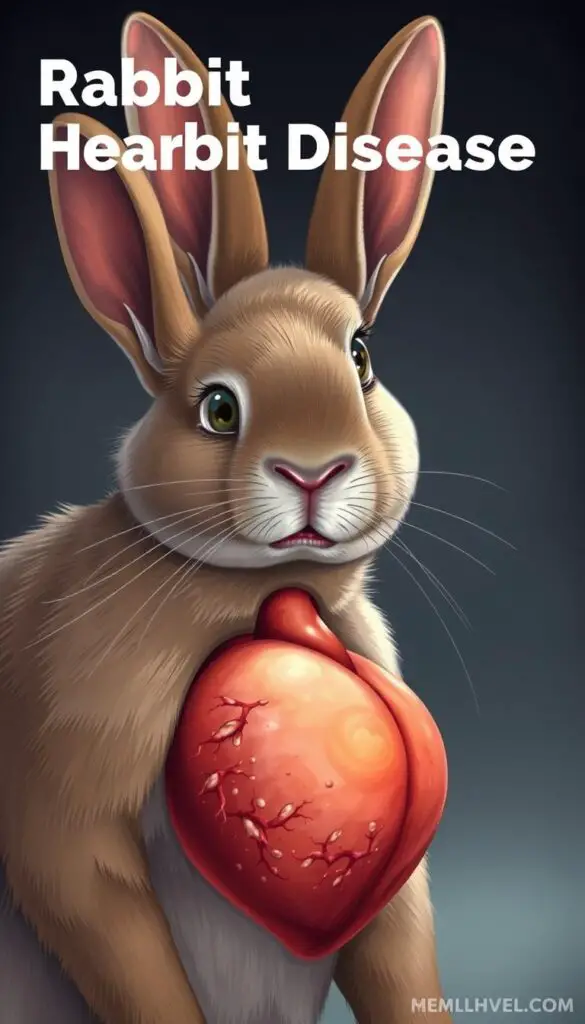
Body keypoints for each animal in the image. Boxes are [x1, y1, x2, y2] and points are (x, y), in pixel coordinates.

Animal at [0, 11, 453, 1024]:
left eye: (362, 358)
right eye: (216, 408)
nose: (315, 468)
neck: (261, 596)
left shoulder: (395, 890)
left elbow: (403, 965)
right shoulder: (61, 818)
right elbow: (119, 942)